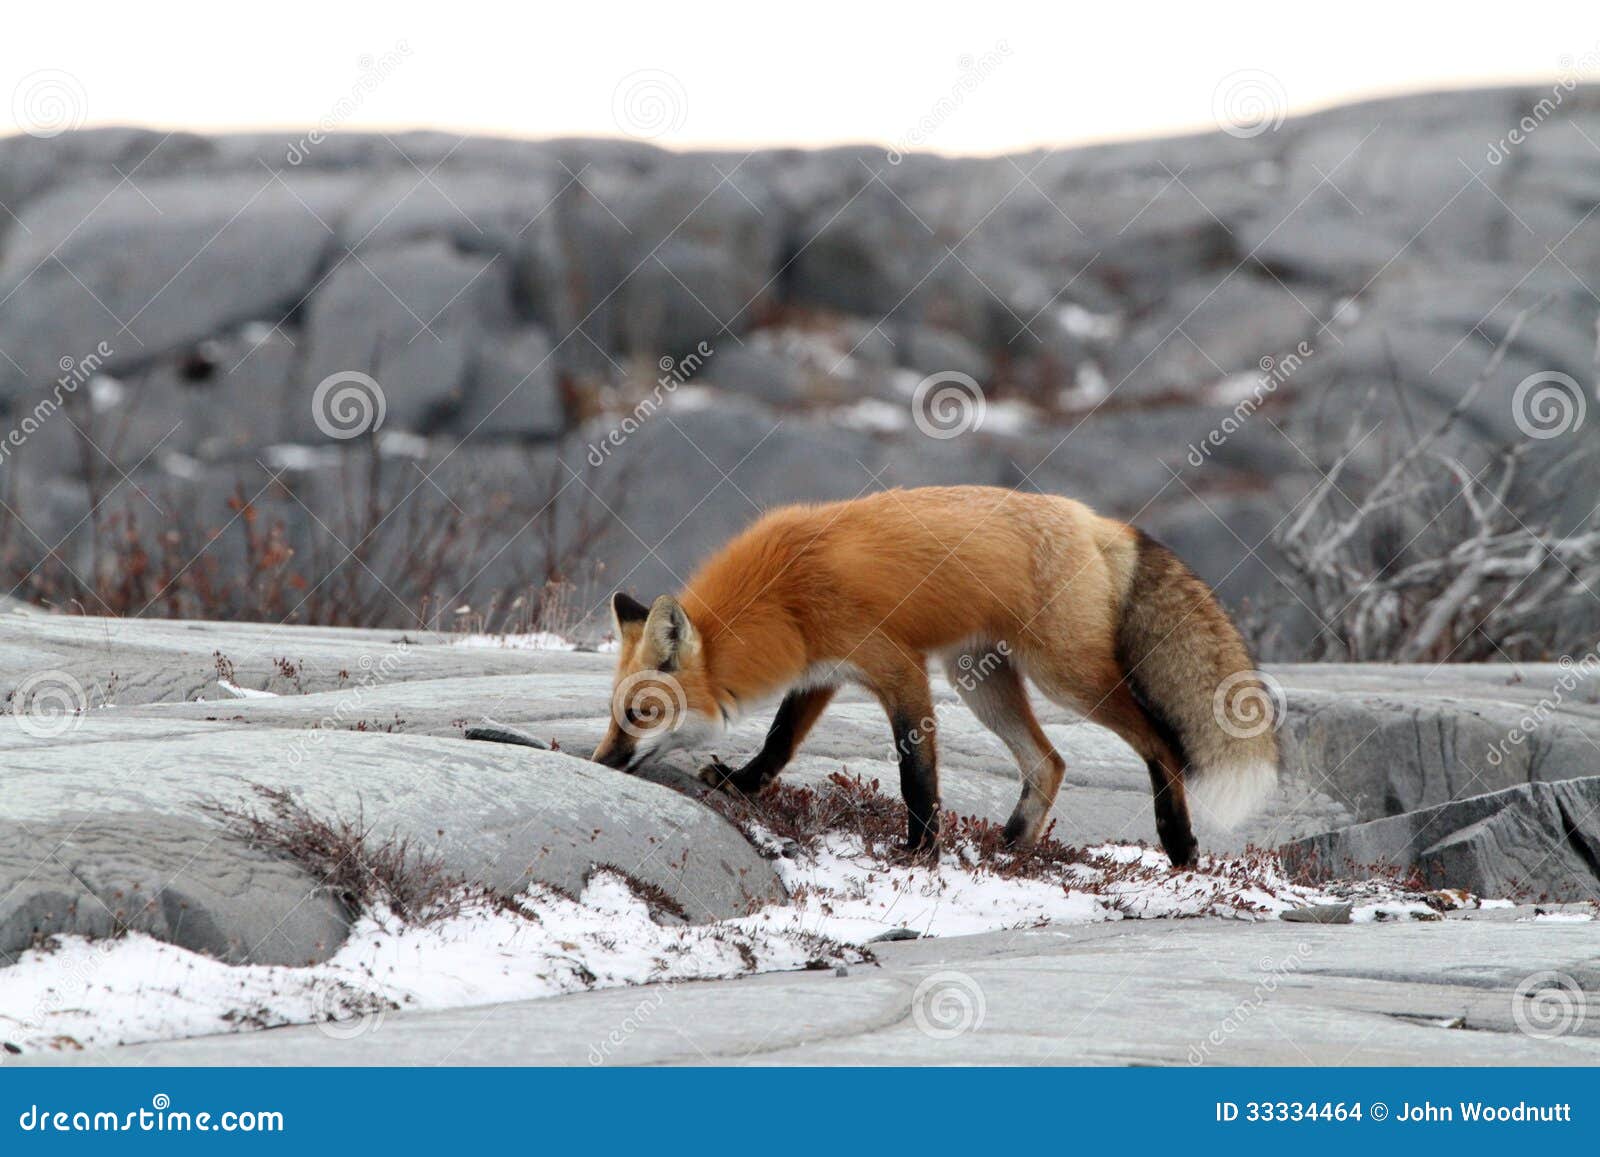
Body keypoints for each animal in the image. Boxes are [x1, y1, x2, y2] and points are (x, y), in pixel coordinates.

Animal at [592, 485, 1279, 866]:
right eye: (612, 714)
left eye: (639, 713)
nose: (599, 763)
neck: (785, 596)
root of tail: (1093, 521)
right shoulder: (821, 672)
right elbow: (779, 742)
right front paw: (740, 783)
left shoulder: (898, 665)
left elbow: (913, 770)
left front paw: (920, 850)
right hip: (981, 681)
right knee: (1049, 762)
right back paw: (1012, 847)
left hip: (1065, 676)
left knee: (1160, 741)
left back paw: (1179, 844)